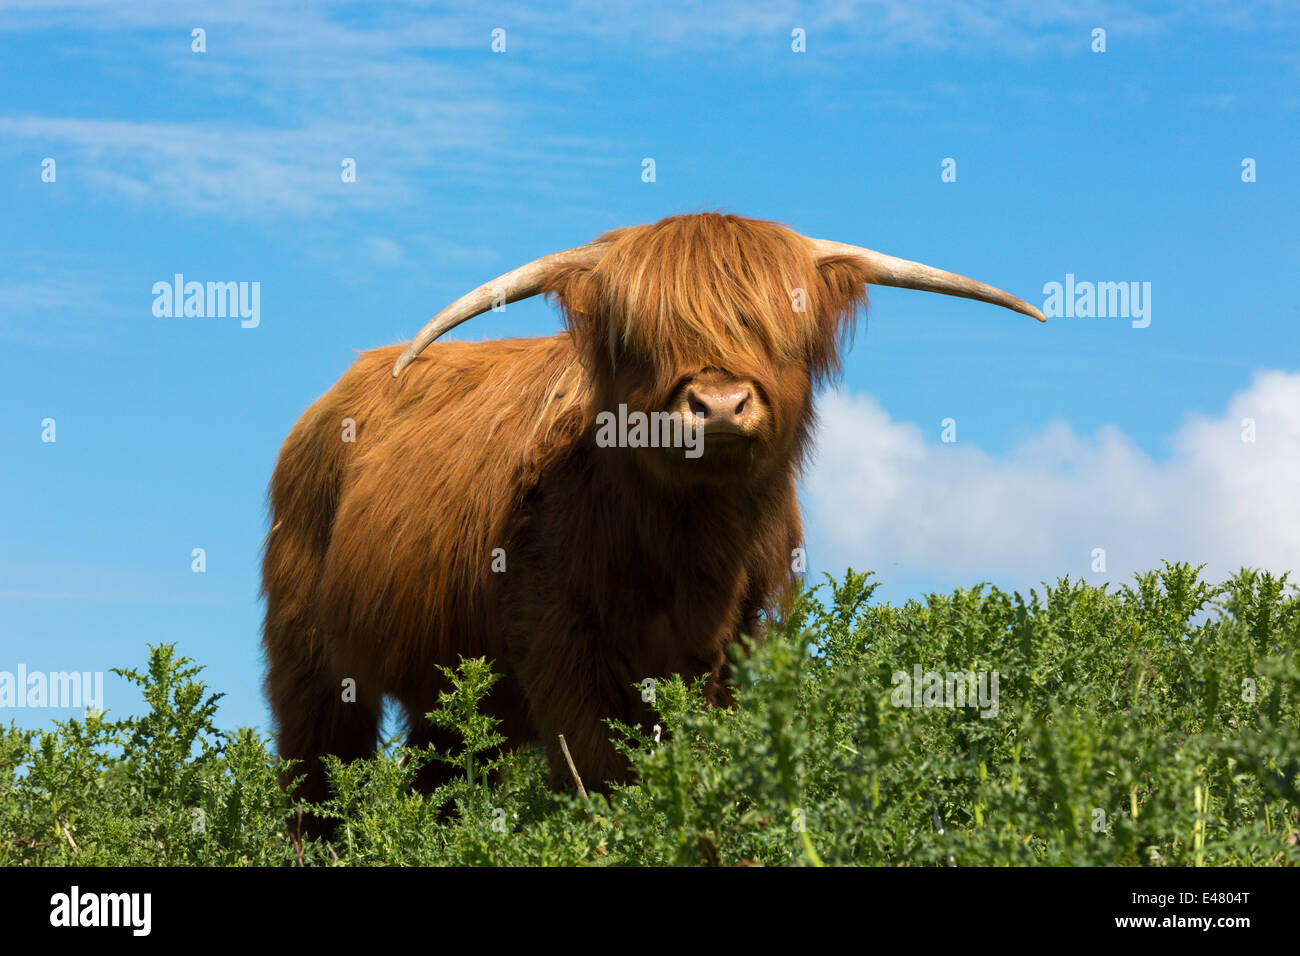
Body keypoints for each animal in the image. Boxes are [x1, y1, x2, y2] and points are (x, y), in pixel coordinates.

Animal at [261, 212, 1042, 827]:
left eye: (776, 333)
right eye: (645, 340)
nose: (720, 405)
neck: (689, 547)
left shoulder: (739, 642)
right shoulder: (558, 642)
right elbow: (599, 774)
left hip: (449, 684)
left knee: (441, 777)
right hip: (308, 653)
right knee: (317, 772)